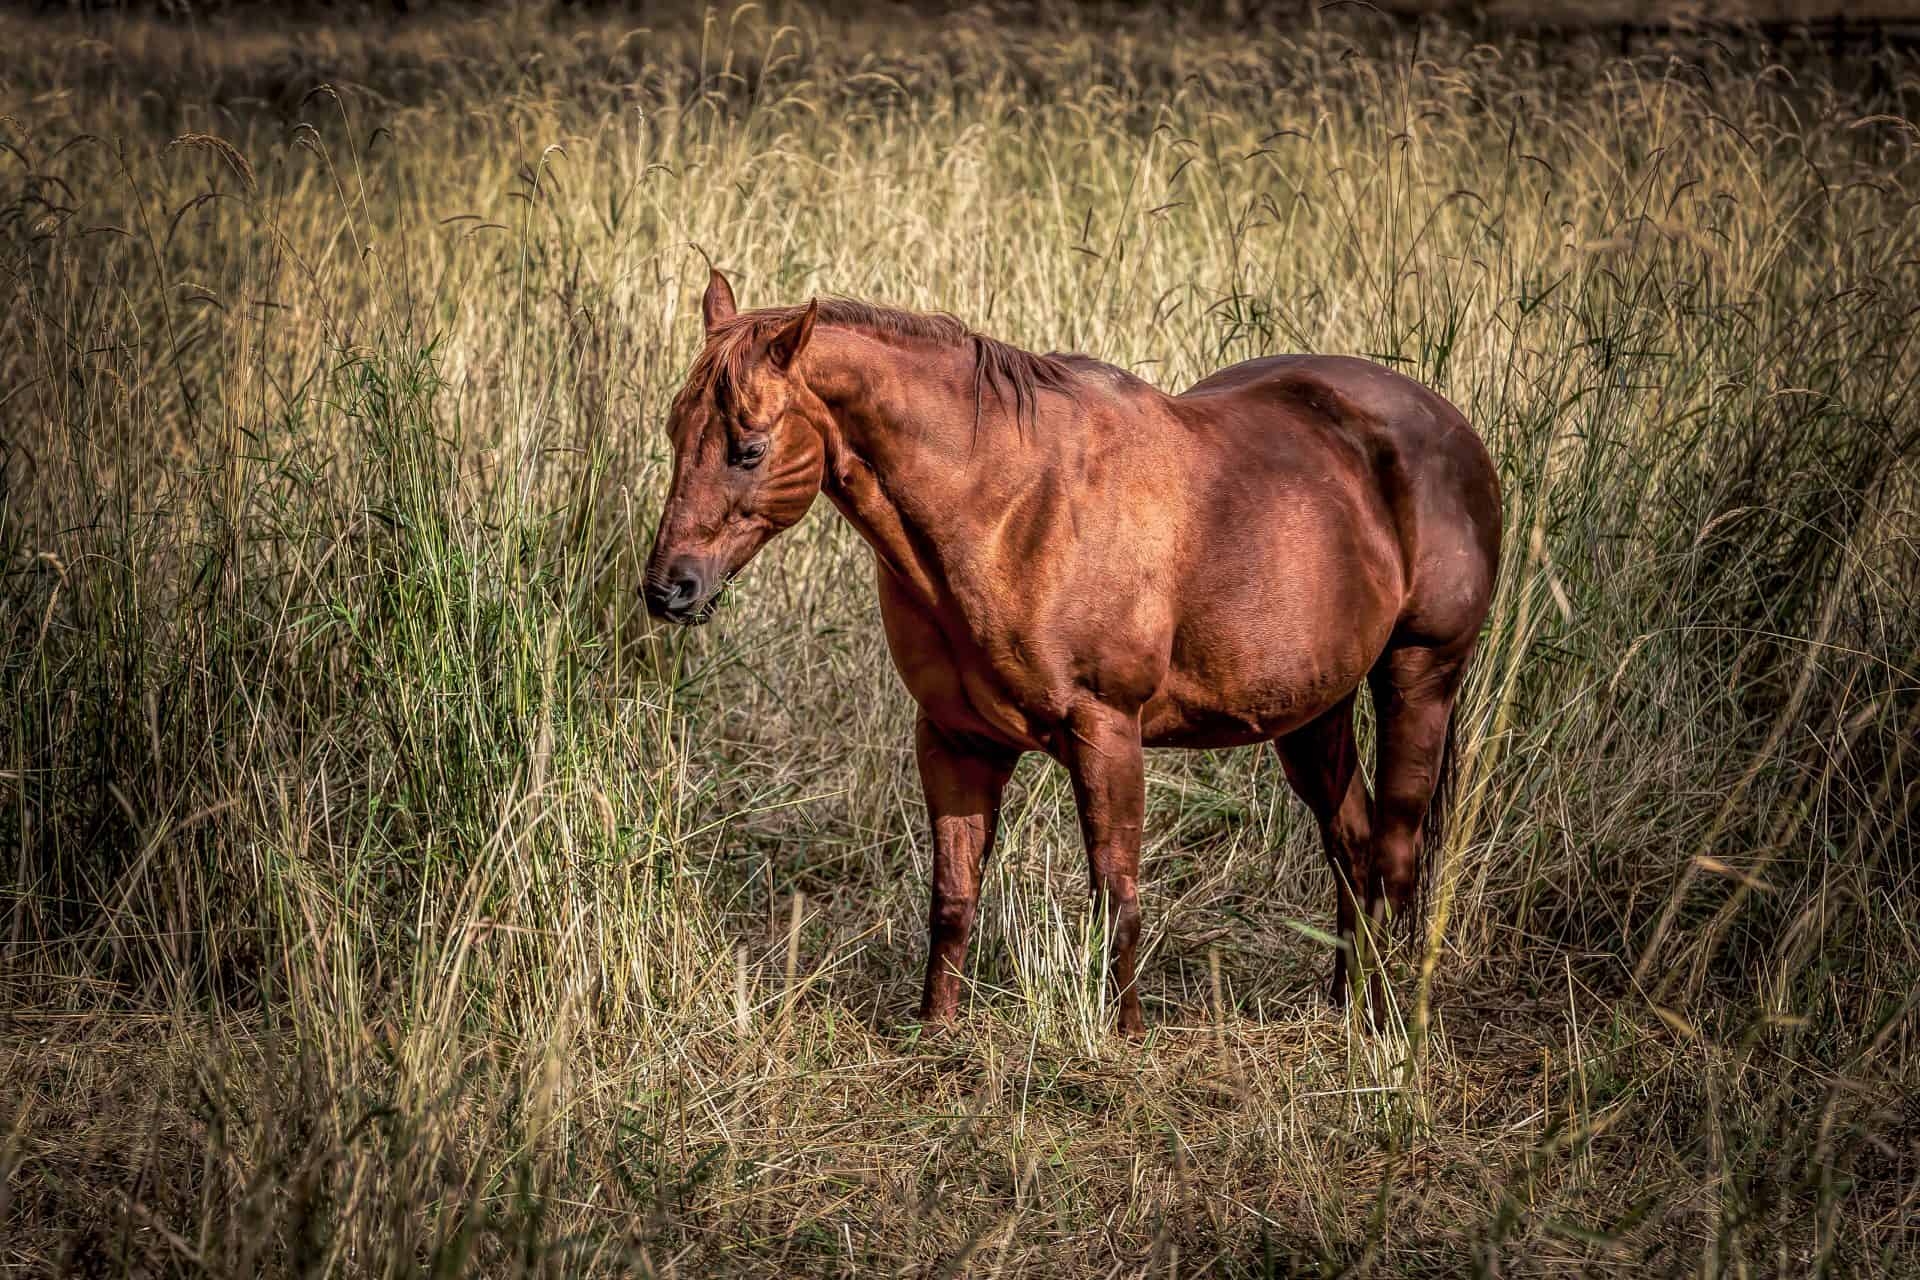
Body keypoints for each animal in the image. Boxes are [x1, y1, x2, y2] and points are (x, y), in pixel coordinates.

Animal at [644, 271, 1501, 1033]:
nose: (668, 588)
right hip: (1310, 709)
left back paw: (1384, 1022)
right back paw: (1345, 1003)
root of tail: (1445, 425)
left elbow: (1115, 896)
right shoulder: (955, 739)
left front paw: (1123, 1040)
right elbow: (952, 898)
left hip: (1420, 675)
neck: (1010, 509)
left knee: (1393, 853)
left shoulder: (1106, 731)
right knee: (1350, 844)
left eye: (749, 449)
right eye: (675, 432)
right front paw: (934, 1034)